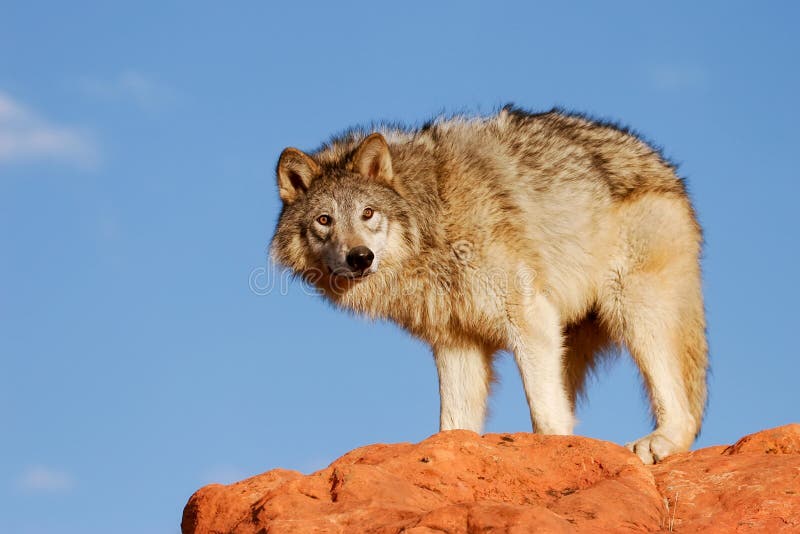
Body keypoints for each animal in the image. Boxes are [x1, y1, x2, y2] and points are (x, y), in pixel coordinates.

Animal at [270, 106, 708, 464]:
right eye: (324, 220)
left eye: (367, 213)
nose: (360, 258)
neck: (436, 217)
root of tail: (665, 168)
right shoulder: (457, 342)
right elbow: (453, 423)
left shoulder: (529, 318)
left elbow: (545, 414)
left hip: (633, 311)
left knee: (682, 405)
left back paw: (660, 443)